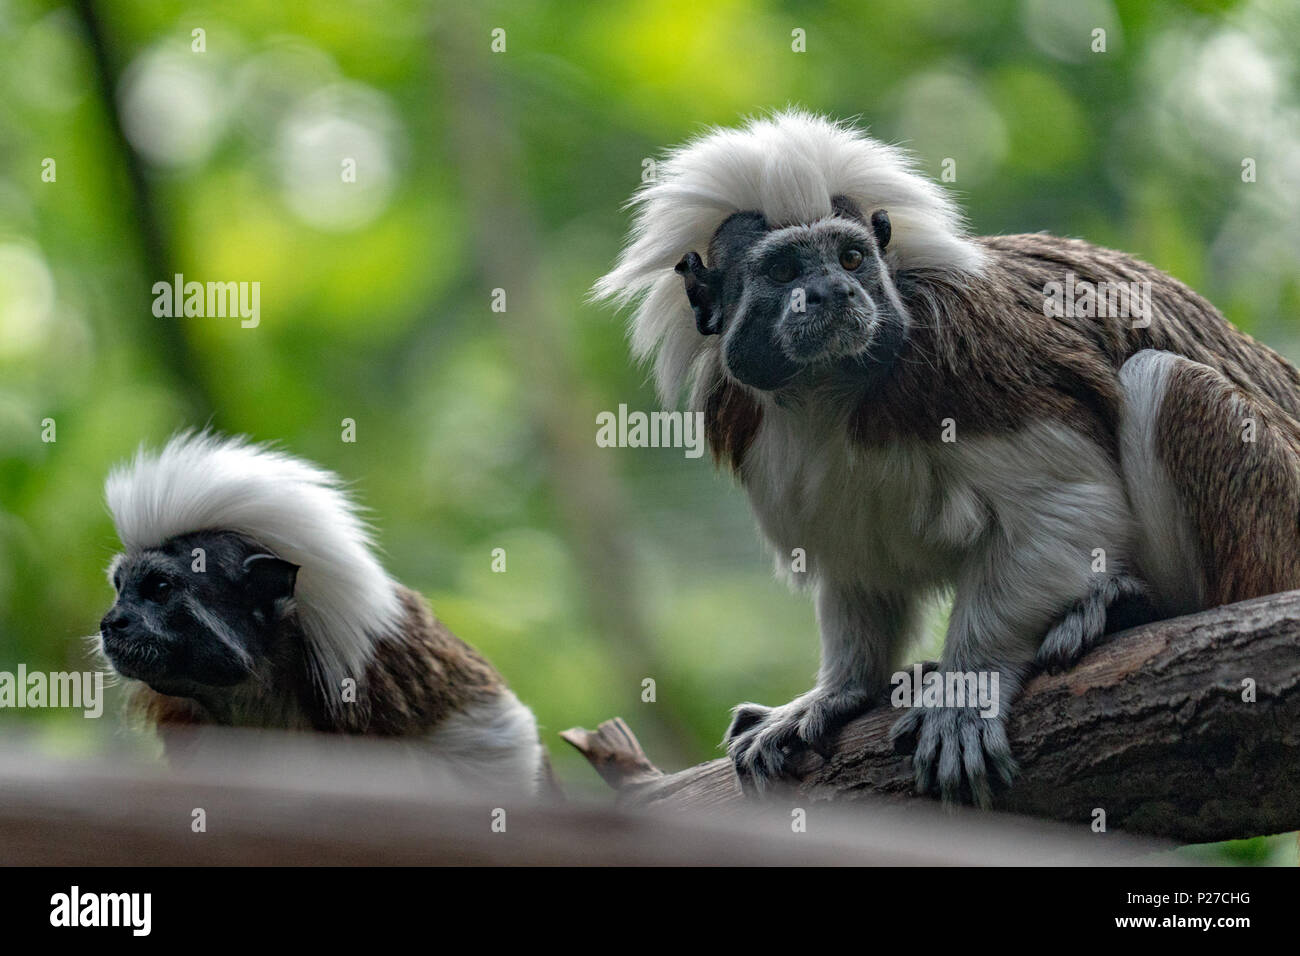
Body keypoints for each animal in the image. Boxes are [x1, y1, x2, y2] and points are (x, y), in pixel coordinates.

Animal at [97, 431, 553, 797]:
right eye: (121, 589)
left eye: (159, 589)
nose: (111, 623)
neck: (260, 689)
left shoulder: (384, 675)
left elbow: (498, 737)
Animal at [594, 110, 1300, 805]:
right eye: (786, 272)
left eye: (851, 257)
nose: (835, 292)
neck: (828, 390)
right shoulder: (750, 420)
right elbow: (854, 562)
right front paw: (838, 691)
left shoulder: (965, 359)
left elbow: (1064, 502)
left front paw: (968, 688)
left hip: (1273, 532)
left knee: (1167, 381)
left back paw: (1127, 607)